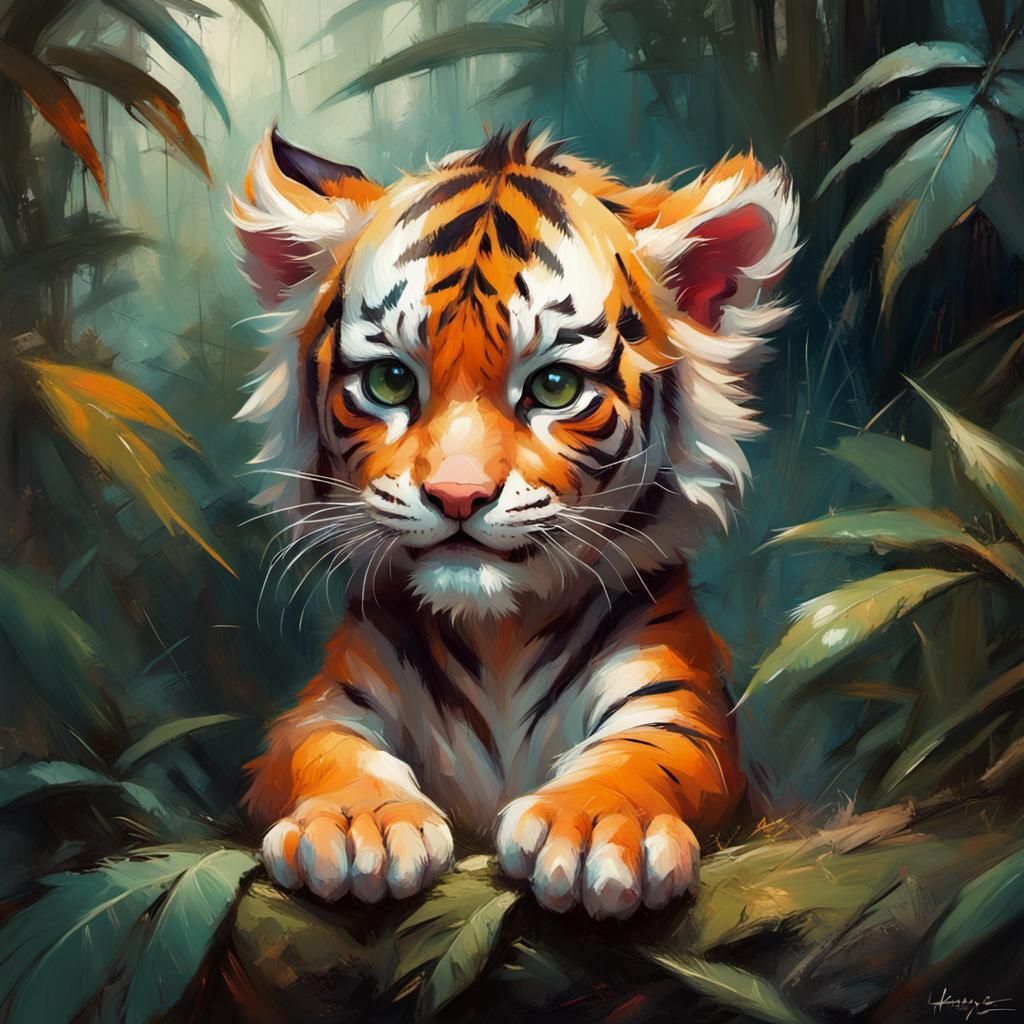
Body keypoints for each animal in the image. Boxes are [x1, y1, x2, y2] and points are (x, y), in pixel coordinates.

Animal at [231, 124, 798, 920]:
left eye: (554, 387)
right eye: (390, 381)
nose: (457, 495)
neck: (495, 631)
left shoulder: (678, 698)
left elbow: (647, 753)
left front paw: (593, 832)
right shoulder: (331, 701)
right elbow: (326, 750)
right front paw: (354, 827)